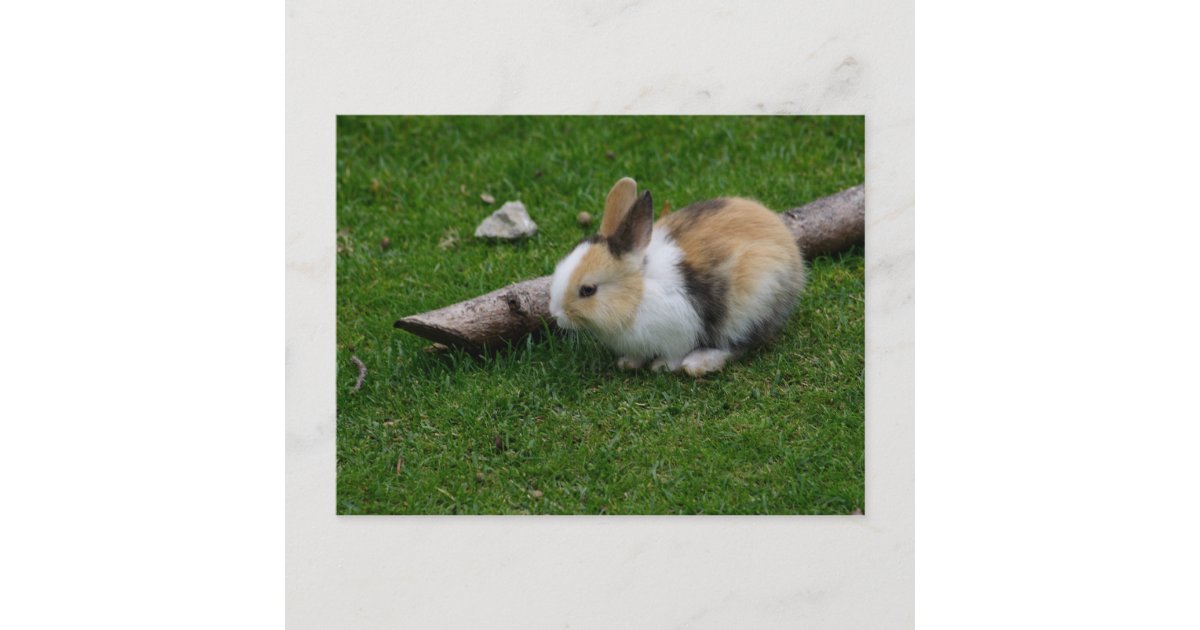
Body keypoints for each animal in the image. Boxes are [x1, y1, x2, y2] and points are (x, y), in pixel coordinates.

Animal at [549, 177, 806, 377]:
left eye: (588, 290)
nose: (557, 315)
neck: (638, 294)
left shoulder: (680, 333)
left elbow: (675, 354)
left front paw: (661, 366)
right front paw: (628, 363)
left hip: (752, 306)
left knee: (741, 344)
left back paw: (699, 363)